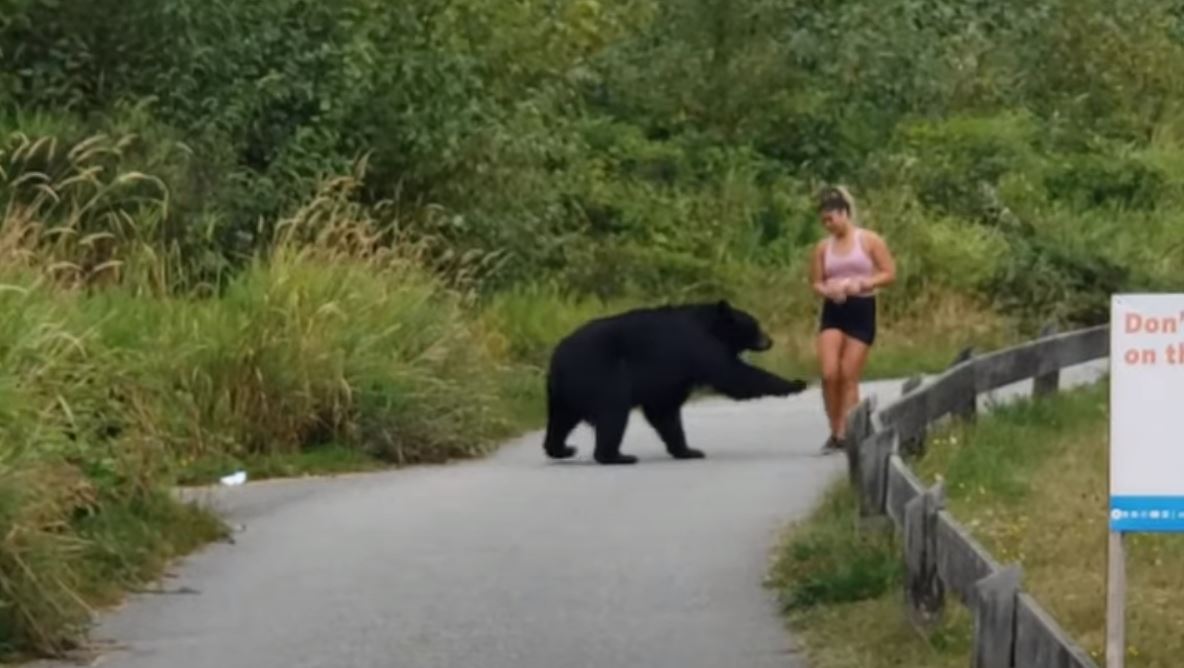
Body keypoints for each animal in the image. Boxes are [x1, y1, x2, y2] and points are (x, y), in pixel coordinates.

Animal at [541, 299, 809, 465]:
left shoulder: (670, 376)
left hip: (565, 392)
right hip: (602, 376)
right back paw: (617, 456)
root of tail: (557, 359)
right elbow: (734, 376)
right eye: (755, 325)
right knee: (613, 412)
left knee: (561, 420)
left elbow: (664, 411)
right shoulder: (699, 347)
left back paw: (562, 449)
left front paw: (688, 451)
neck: (710, 326)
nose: (770, 341)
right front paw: (795, 383)